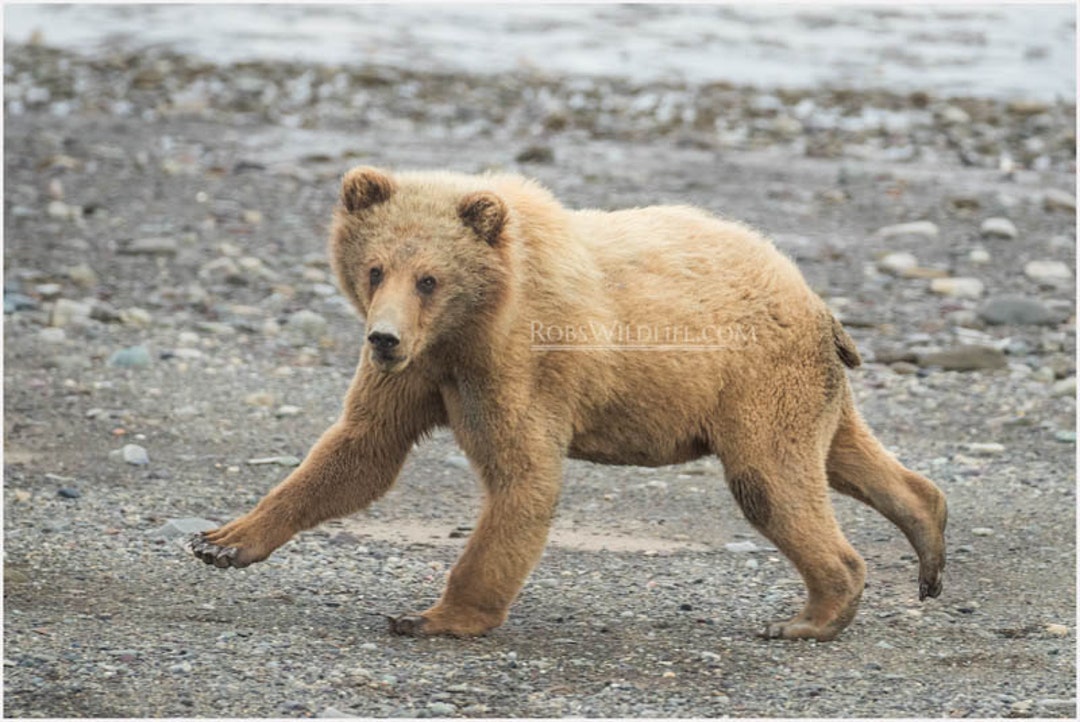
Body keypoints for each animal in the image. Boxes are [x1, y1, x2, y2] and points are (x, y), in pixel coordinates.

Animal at [189, 166, 948, 642]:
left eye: (430, 278)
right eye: (374, 268)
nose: (382, 337)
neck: (466, 328)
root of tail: (812, 296)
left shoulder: (517, 365)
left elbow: (521, 478)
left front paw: (433, 615)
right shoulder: (422, 374)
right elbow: (358, 450)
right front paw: (222, 540)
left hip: (753, 377)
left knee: (771, 481)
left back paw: (810, 615)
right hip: (797, 384)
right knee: (844, 456)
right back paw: (927, 533)